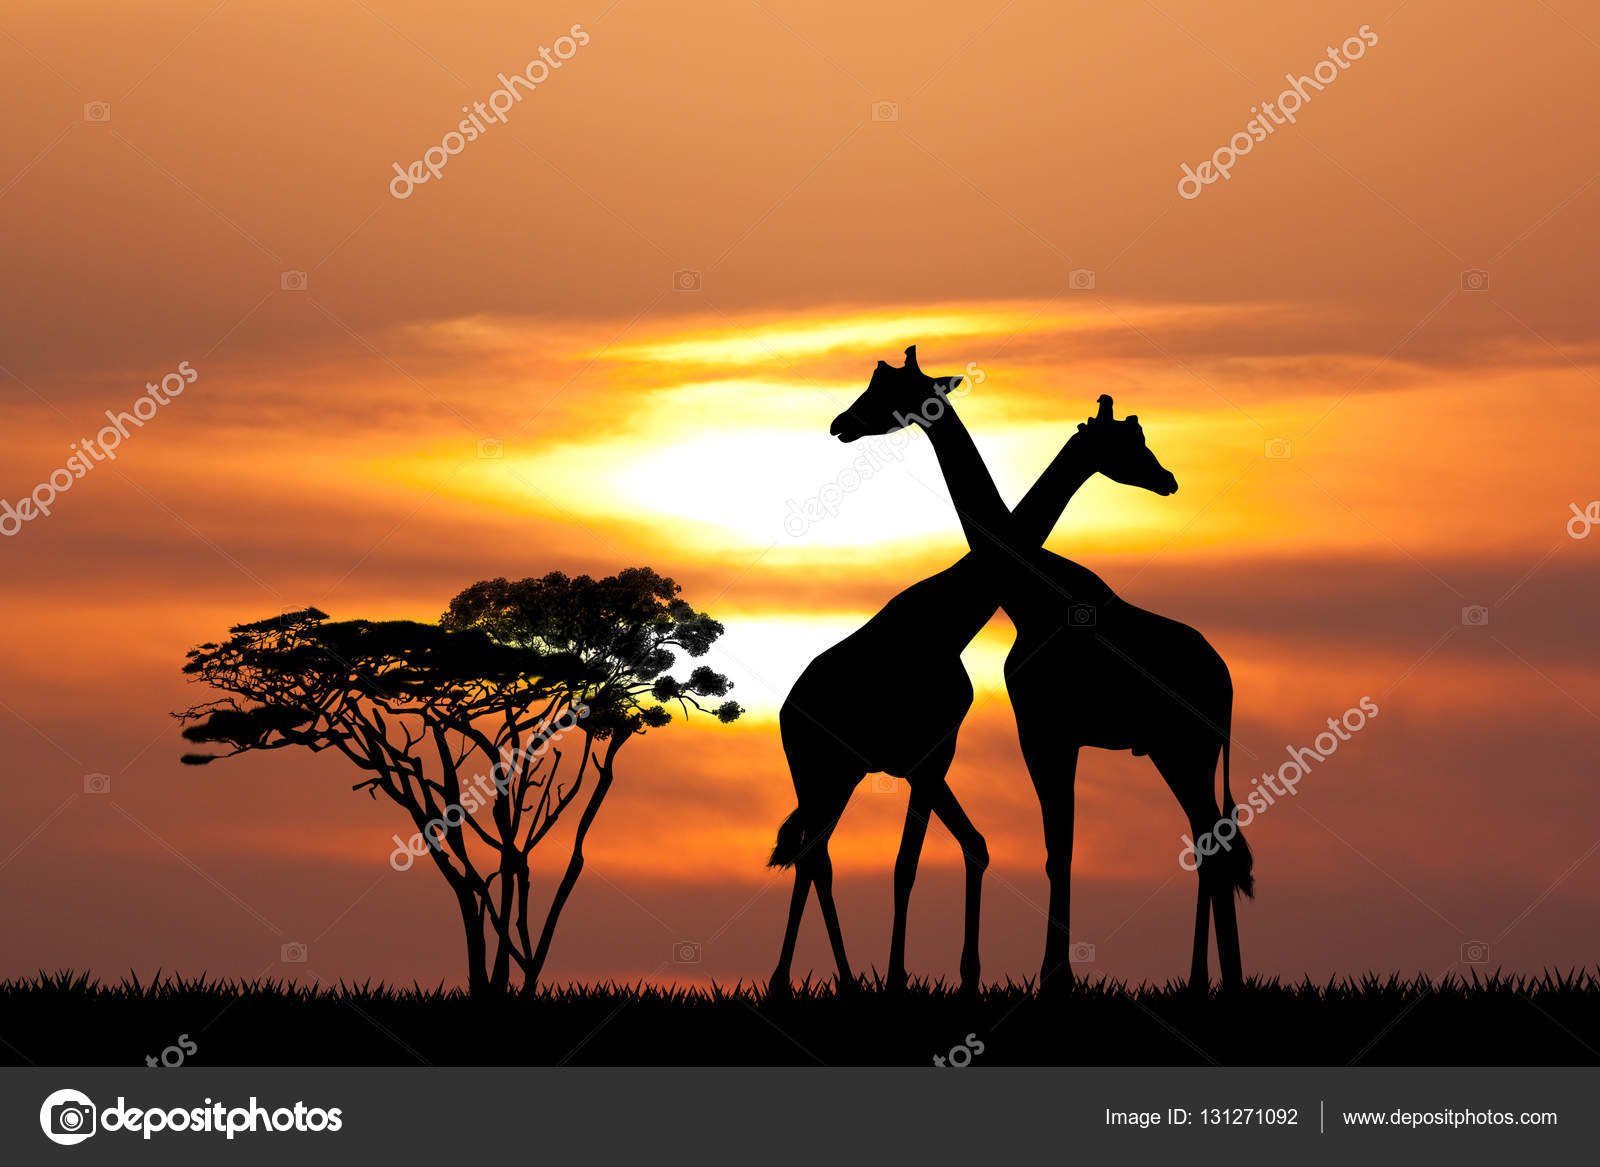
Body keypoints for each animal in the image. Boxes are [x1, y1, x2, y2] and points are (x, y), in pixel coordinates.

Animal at [767, 371, 1179, 999]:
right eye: (1128, 442)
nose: (1168, 479)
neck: (949, 623)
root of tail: (787, 710)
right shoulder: (921, 760)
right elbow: (906, 865)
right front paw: (896, 980)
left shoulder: (934, 757)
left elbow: (965, 849)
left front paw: (963, 977)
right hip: (818, 768)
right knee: (816, 857)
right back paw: (815, 982)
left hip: (839, 775)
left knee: (815, 855)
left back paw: (810, 981)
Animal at [828, 347, 1252, 994]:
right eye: (1131, 440)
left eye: (886, 389)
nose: (840, 424)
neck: (1029, 598)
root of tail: (1225, 682)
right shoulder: (1051, 732)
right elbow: (1061, 846)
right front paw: (1055, 974)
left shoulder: (1046, 729)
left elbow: (1060, 846)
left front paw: (1055, 977)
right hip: (1175, 749)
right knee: (1211, 842)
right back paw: (1210, 980)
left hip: (1187, 745)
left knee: (1213, 844)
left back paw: (1219, 980)